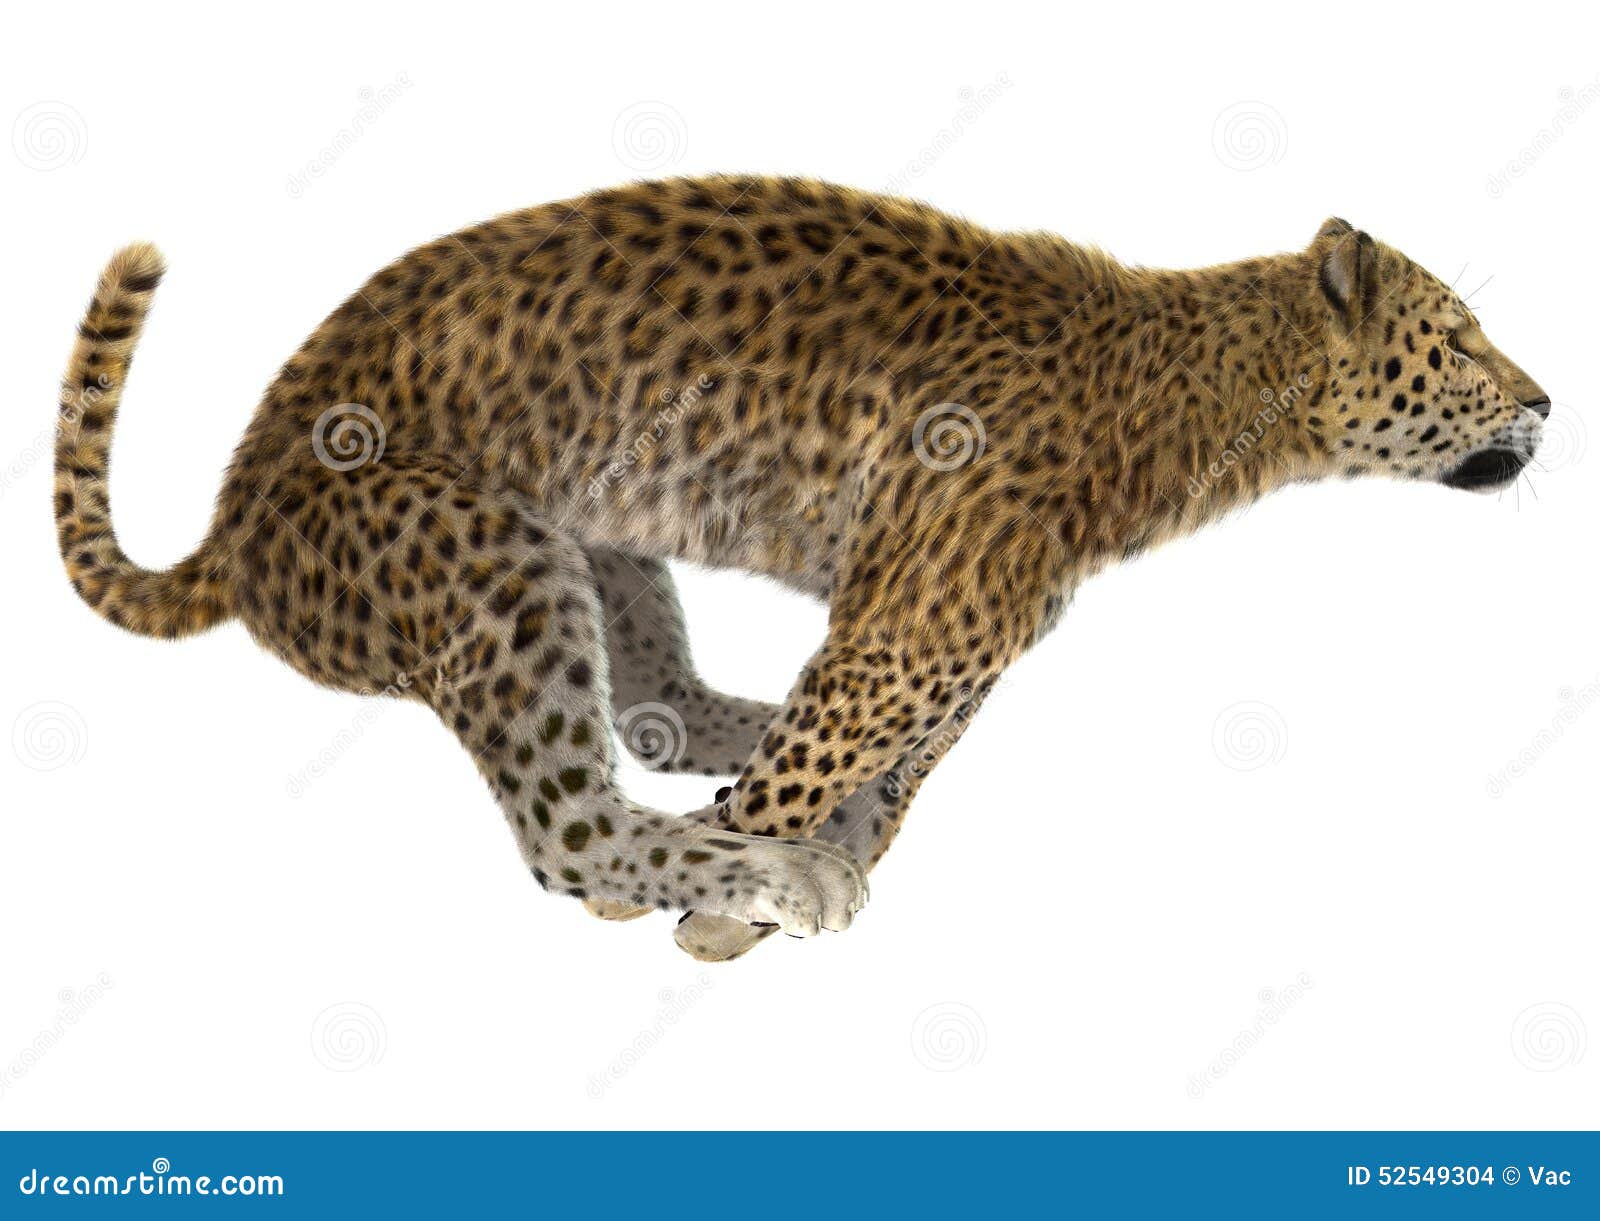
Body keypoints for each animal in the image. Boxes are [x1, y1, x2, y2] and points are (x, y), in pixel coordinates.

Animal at [54, 176, 1549, 961]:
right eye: (1461, 341)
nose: (1546, 402)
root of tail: (234, 512)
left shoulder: (947, 646)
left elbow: (891, 777)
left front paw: (804, 863)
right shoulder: (910, 635)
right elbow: (814, 775)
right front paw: (739, 903)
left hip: (595, 537)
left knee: (651, 700)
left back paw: (730, 740)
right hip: (487, 557)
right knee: (568, 827)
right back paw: (710, 867)